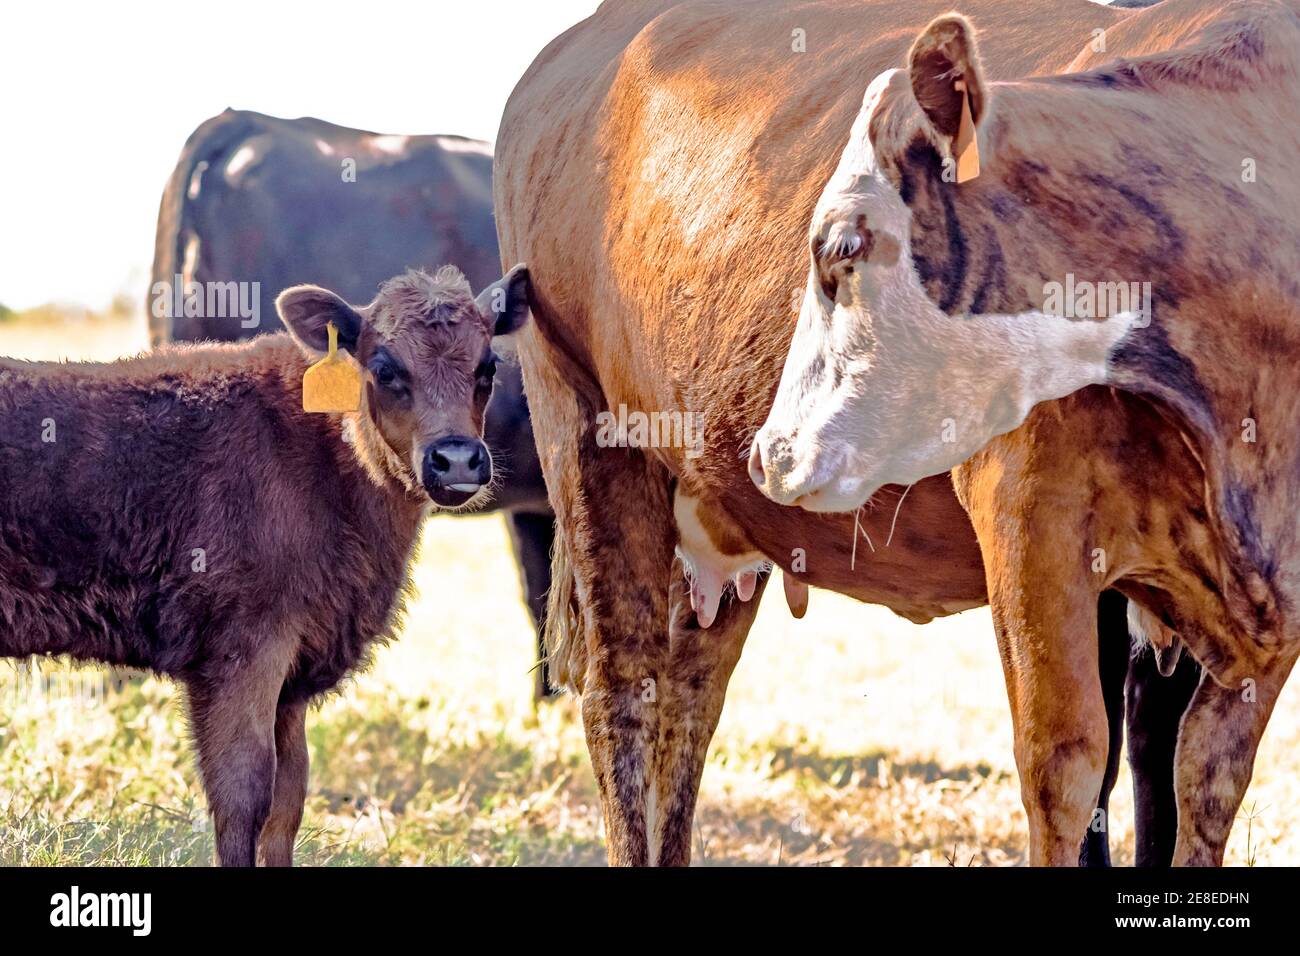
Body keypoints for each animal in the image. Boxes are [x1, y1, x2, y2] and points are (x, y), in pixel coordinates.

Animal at [0, 264, 531, 865]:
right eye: (384, 367)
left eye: (488, 366)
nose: (457, 459)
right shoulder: (242, 649)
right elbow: (243, 797)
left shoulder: (294, 675)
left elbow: (287, 803)